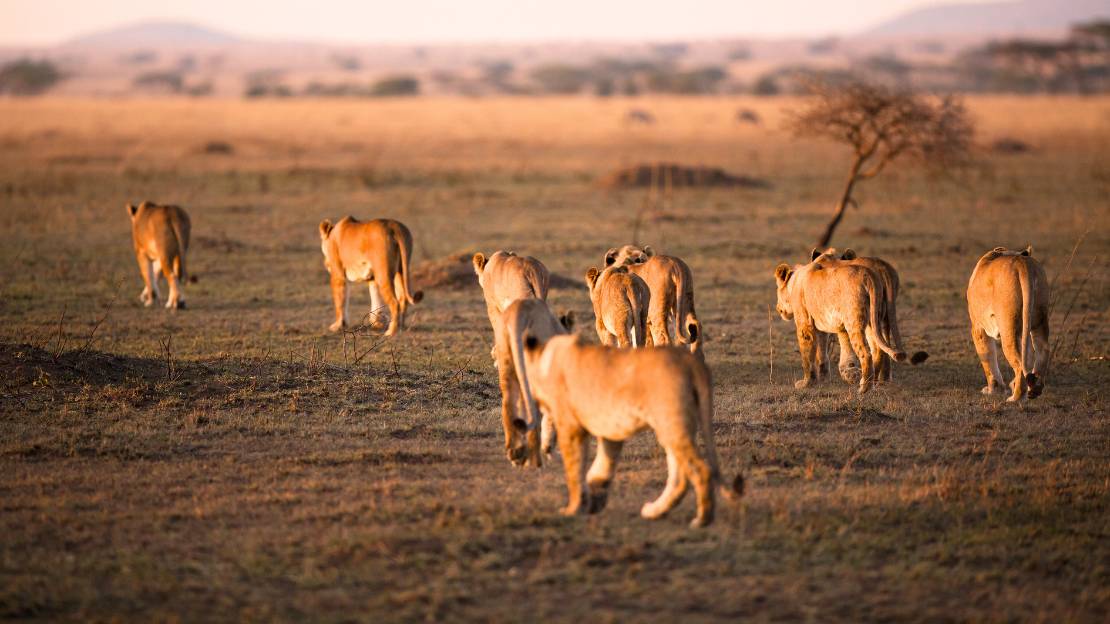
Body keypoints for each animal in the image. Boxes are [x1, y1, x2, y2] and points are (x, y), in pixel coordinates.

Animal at [520, 333, 742, 528]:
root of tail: (689, 361)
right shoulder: (610, 431)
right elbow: (601, 467)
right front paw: (595, 500)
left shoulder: (571, 428)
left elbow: (574, 471)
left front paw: (573, 509)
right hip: (673, 429)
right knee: (680, 477)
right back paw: (655, 511)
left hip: (672, 424)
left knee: (701, 470)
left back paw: (702, 520)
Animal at [774, 258, 907, 394]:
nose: (777, 308)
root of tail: (869, 275)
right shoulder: (822, 326)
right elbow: (823, 351)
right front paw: (823, 377)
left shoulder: (805, 324)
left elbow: (807, 356)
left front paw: (807, 383)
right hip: (874, 320)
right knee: (877, 349)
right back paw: (873, 382)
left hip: (853, 322)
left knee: (866, 353)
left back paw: (864, 388)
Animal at [967, 246, 1050, 401]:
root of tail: (1023, 263)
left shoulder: (978, 327)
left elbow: (988, 359)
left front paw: (993, 389)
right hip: (1039, 319)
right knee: (1043, 350)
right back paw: (1035, 389)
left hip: (1008, 326)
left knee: (1019, 364)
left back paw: (1015, 398)